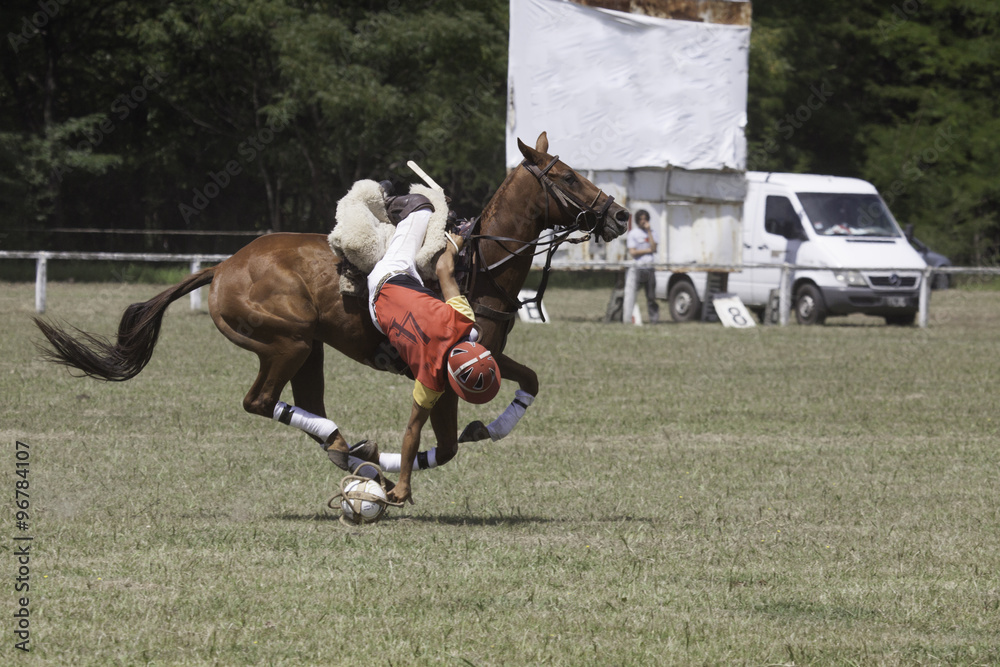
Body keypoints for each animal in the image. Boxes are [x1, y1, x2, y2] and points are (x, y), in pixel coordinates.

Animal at [34, 132, 630, 474]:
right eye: (566, 176)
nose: (621, 215)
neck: (478, 264)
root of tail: (221, 267)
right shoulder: (448, 362)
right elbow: (447, 445)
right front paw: (406, 458)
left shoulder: (488, 353)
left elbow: (531, 380)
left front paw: (489, 428)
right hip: (287, 342)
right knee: (260, 401)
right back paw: (354, 453)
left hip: (309, 350)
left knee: (304, 406)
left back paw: (350, 453)